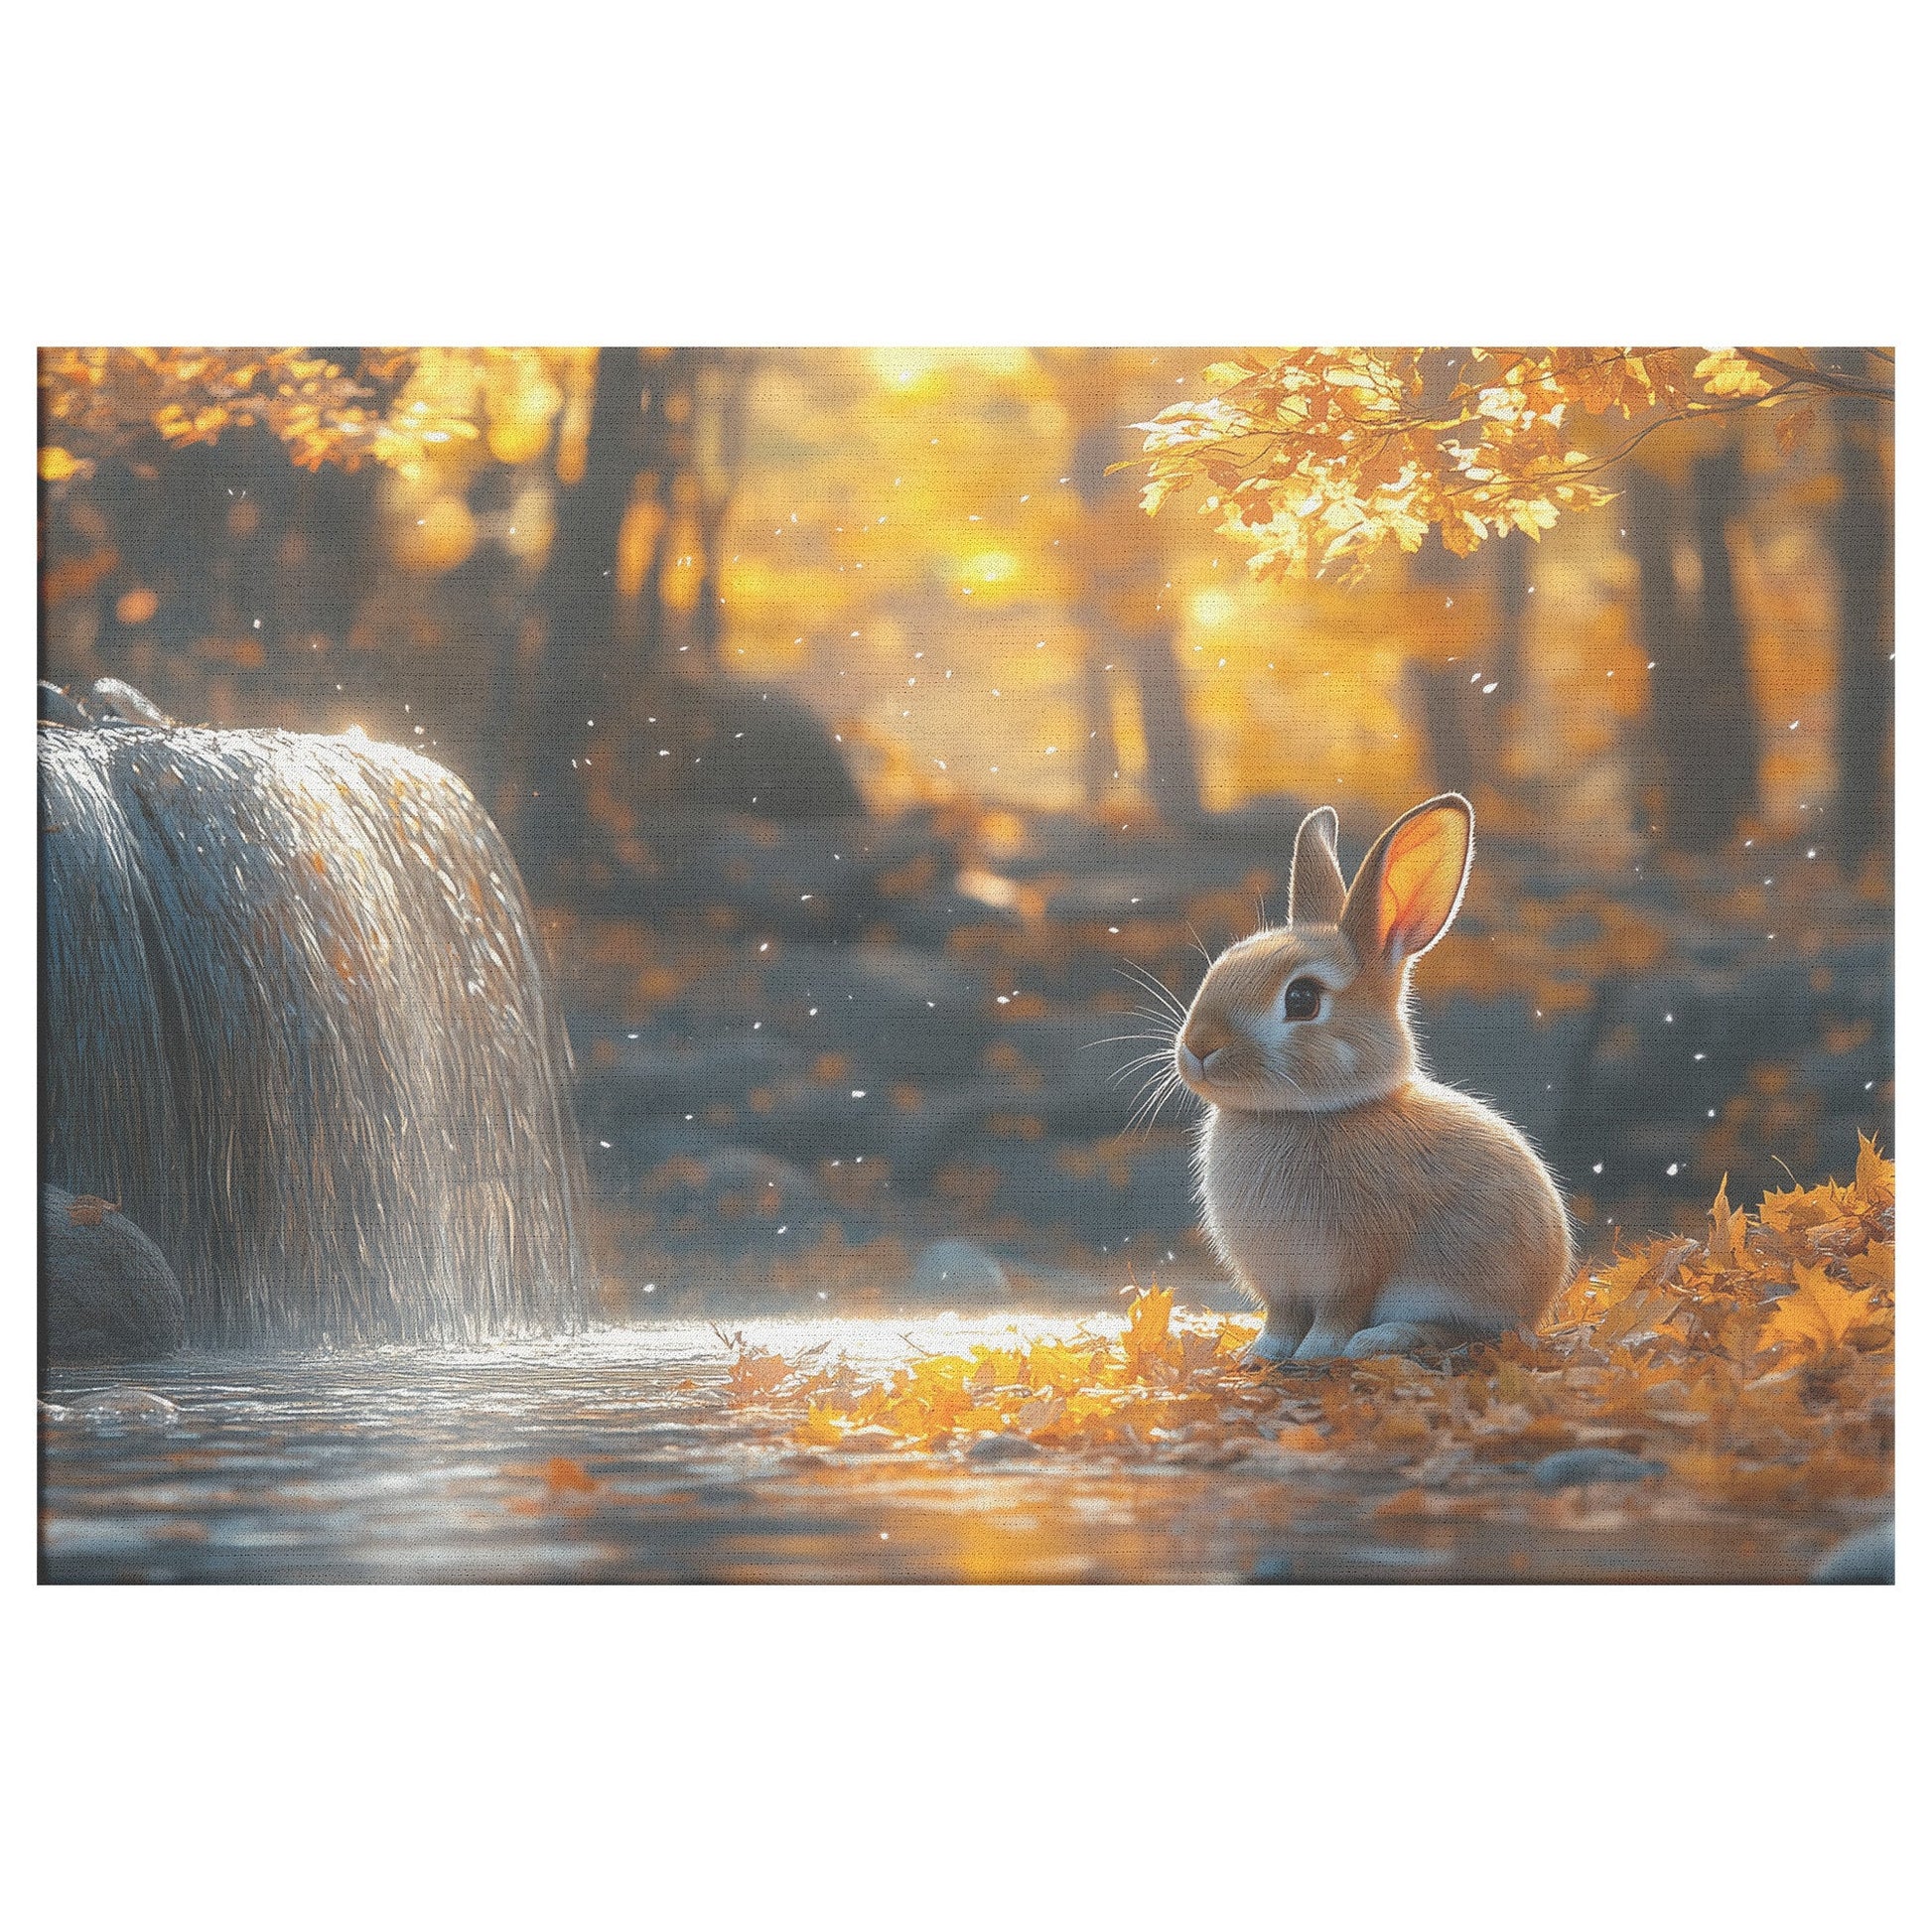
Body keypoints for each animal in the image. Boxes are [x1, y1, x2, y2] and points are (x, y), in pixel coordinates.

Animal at [1173, 793, 1572, 1364]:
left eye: (1302, 999)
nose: (1199, 1046)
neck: (1302, 1113)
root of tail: (1540, 1307)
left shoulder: (1353, 1269)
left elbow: (1338, 1313)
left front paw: (1317, 1352)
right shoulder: (1282, 1286)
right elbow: (1280, 1319)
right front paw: (1261, 1353)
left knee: (1468, 1335)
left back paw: (1381, 1339)